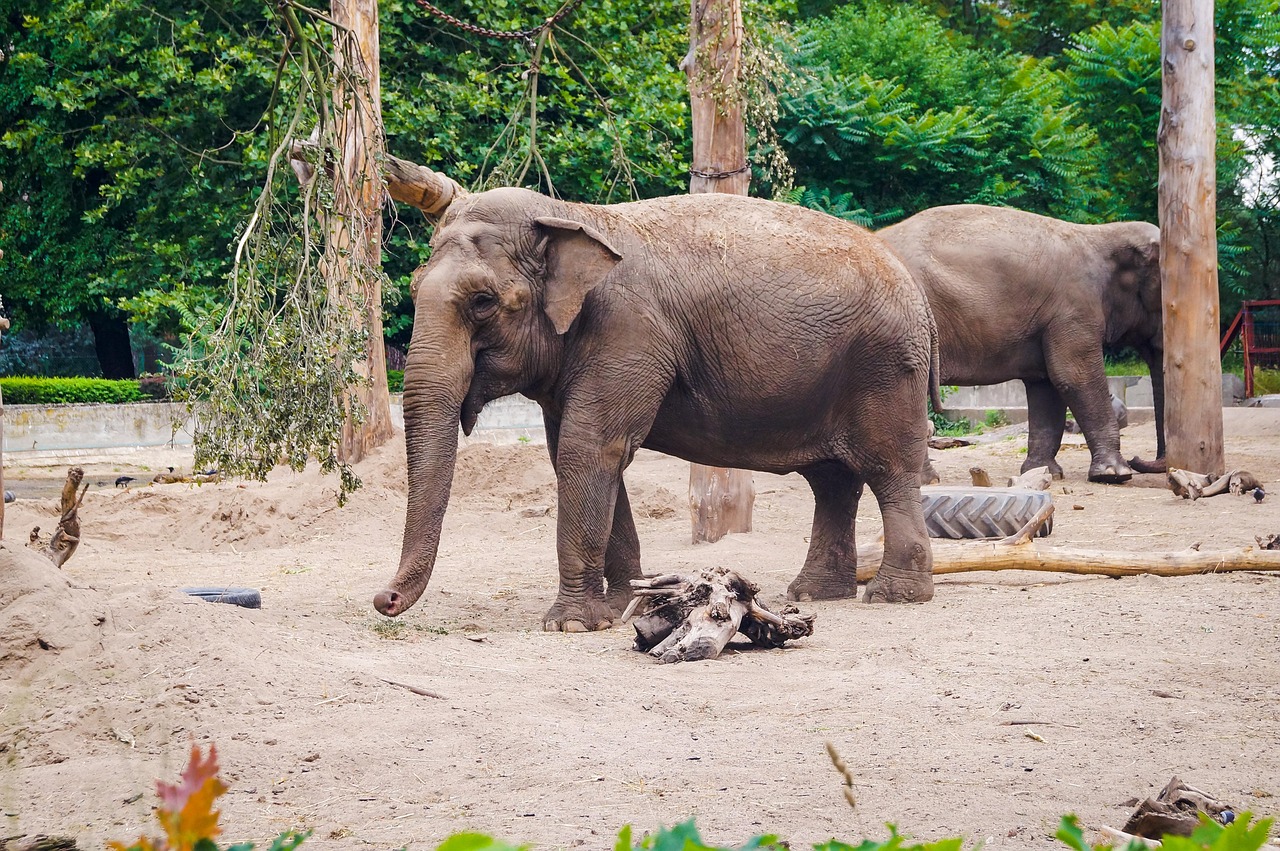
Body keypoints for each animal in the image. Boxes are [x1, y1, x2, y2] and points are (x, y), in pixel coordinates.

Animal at [373, 186, 941, 631]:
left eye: (483, 301)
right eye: (413, 289)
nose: (384, 600)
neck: (569, 214)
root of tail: (919, 297)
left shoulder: (629, 333)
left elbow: (590, 450)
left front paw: (569, 624)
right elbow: (576, 455)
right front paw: (625, 604)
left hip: (886, 370)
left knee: (887, 469)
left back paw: (893, 596)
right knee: (832, 480)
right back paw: (813, 593)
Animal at [878, 204, 1165, 483]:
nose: (1139, 461)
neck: (1103, 234)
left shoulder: (1051, 319)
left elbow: (1046, 385)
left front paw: (1043, 472)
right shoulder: (1074, 310)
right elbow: (1073, 377)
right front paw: (1115, 474)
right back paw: (926, 480)